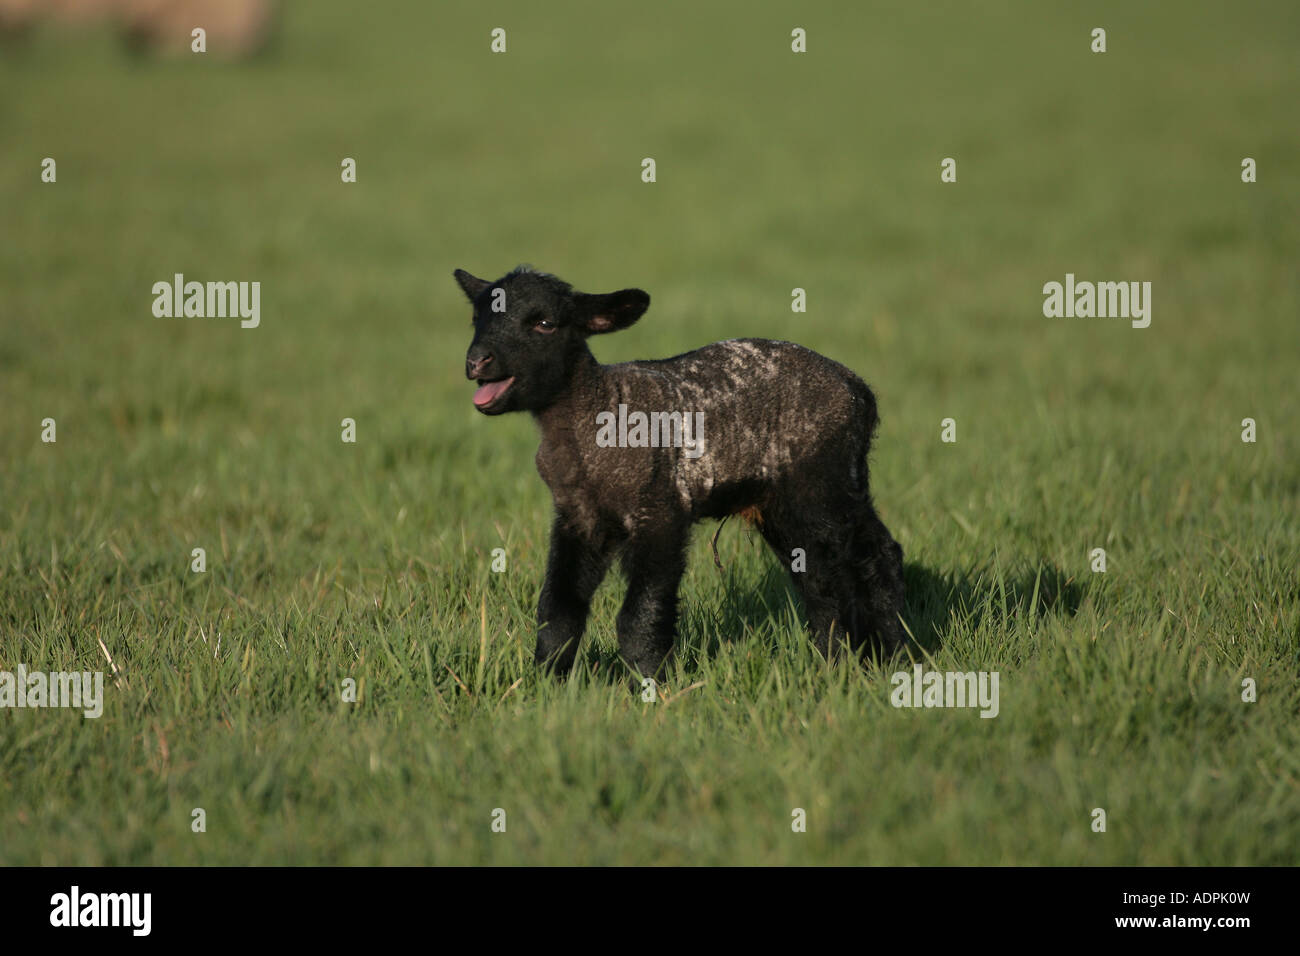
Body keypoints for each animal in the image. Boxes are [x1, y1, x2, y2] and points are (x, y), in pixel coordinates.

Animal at [457, 265, 906, 679]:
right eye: (477, 318)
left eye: (545, 323)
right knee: (819, 577)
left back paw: (894, 653)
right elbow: (558, 609)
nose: (476, 362)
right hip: (784, 503)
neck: (596, 414)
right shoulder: (578, 517)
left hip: (826, 480)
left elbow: (639, 615)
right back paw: (834, 660)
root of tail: (858, 388)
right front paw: (549, 679)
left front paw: (650, 684)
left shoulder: (660, 512)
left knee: (874, 557)